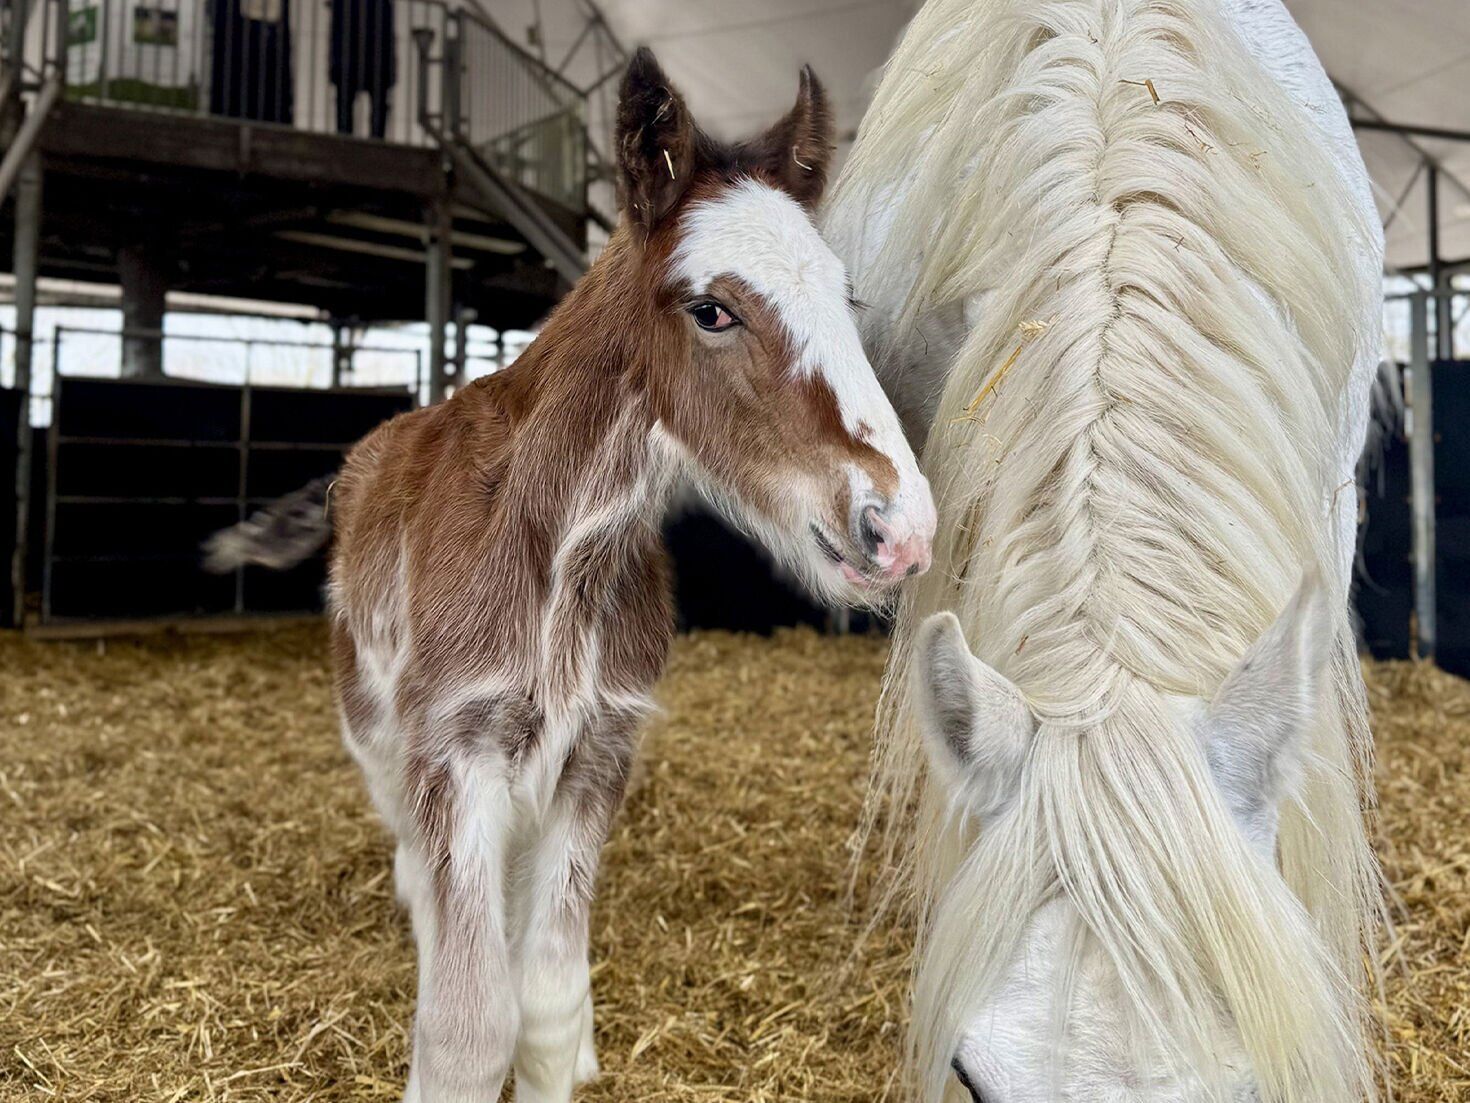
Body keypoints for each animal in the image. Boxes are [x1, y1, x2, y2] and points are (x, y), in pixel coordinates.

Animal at [206, 48, 936, 1103]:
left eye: (845, 300)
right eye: (712, 310)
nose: (900, 529)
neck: (561, 557)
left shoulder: (598, 750)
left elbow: (546, 1008)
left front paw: (569, 1043)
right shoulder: (454, 749)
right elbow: (468, 1026)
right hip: (378, 732)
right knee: (418, 874)